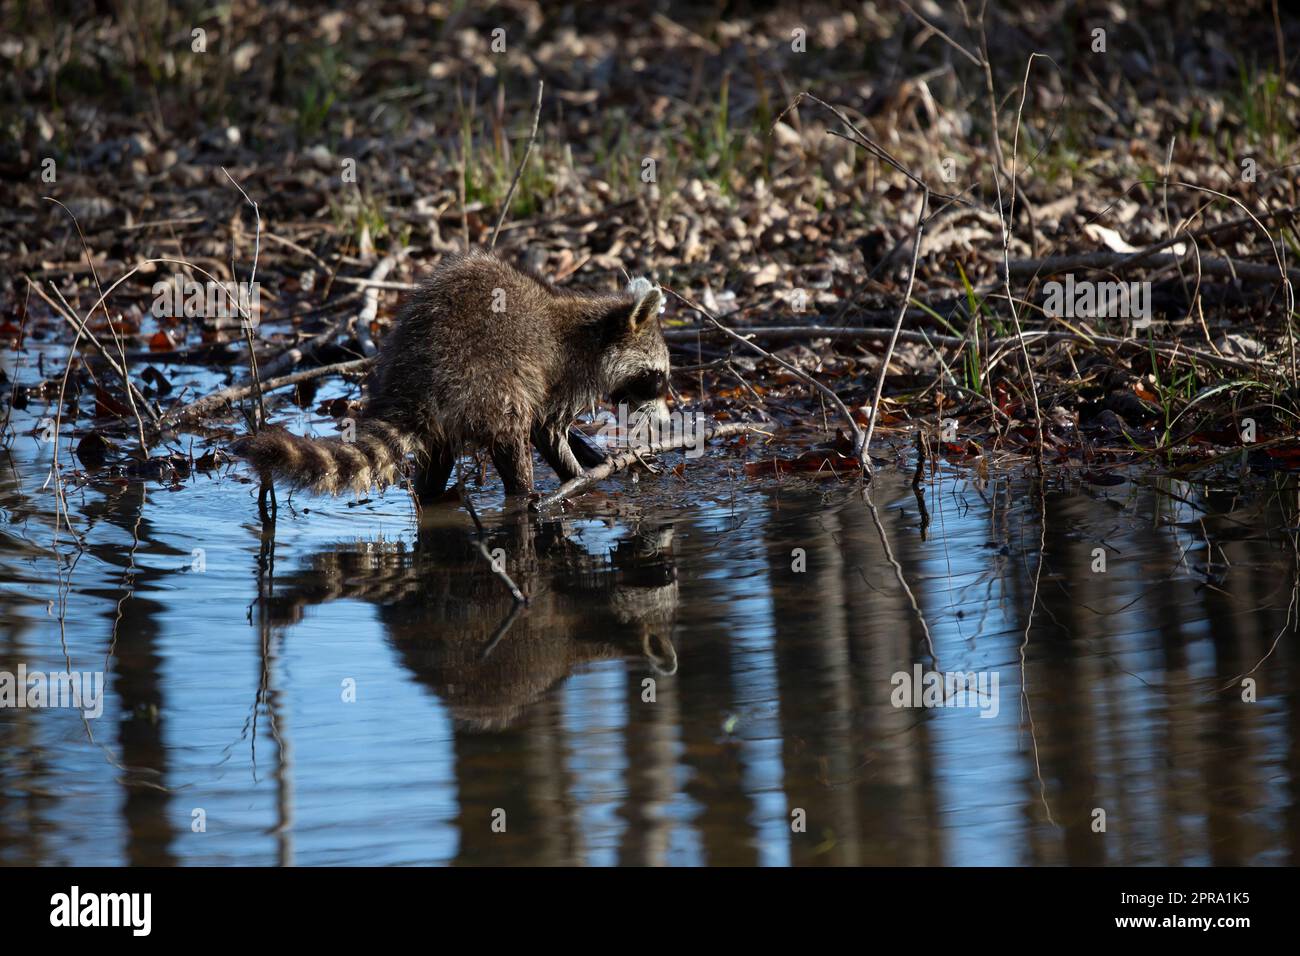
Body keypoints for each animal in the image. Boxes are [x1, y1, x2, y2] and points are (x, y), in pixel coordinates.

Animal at [236, 250, 670, 500]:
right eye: (660, 380)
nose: (667, 422)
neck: (597, 332)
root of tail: (413, 382)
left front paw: (592, 453)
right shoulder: (569, 374)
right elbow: (545, 429)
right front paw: (579, 475)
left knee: (437, 457)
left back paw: (431, 495)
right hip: (487, 380)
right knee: (511, 433)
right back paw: (525, 496)